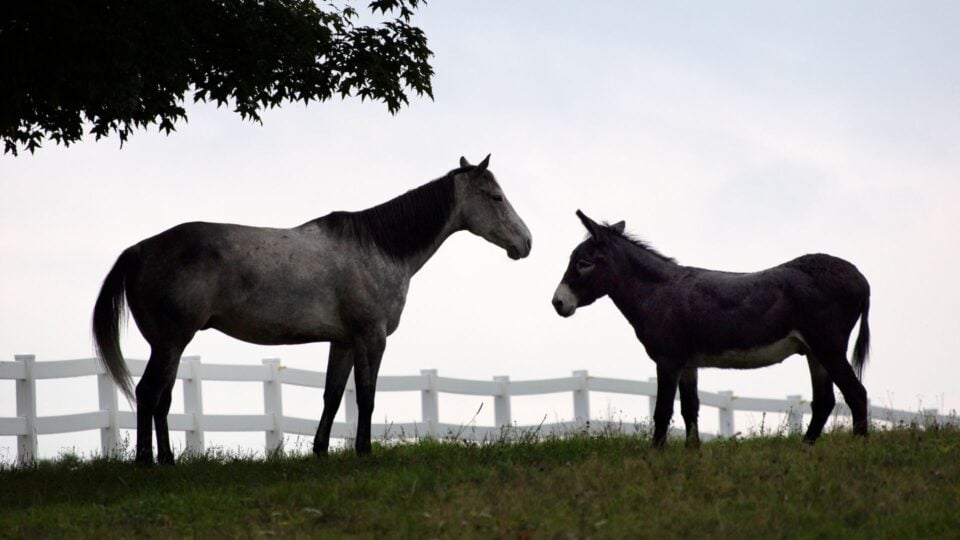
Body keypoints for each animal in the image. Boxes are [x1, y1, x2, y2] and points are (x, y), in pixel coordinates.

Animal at [93, 155, 532, 465]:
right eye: (496, 197)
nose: (526, 242)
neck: (378, 246)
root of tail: (139, 250)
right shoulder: (371, 338)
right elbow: (366, 397)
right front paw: (363, 451)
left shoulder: (343, 342)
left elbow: (333, 396)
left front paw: (320, 450)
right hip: (171, 342)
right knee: (148, 393)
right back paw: (146, 462)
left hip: (170, 345)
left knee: (162, 399)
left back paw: (168, 460)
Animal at [551, 210, 870, 448]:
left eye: (583, 263)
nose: (557, 302)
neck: (658, 293)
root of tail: (860, 277)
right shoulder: (688, 363)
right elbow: (690, 408)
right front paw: (692, 455)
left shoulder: (668, 360)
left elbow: (663, 411)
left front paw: (655, 456)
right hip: (814, 351)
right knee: (825, 401)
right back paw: (805, 449)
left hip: (828, 345)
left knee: (856, 393)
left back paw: (859, 447)